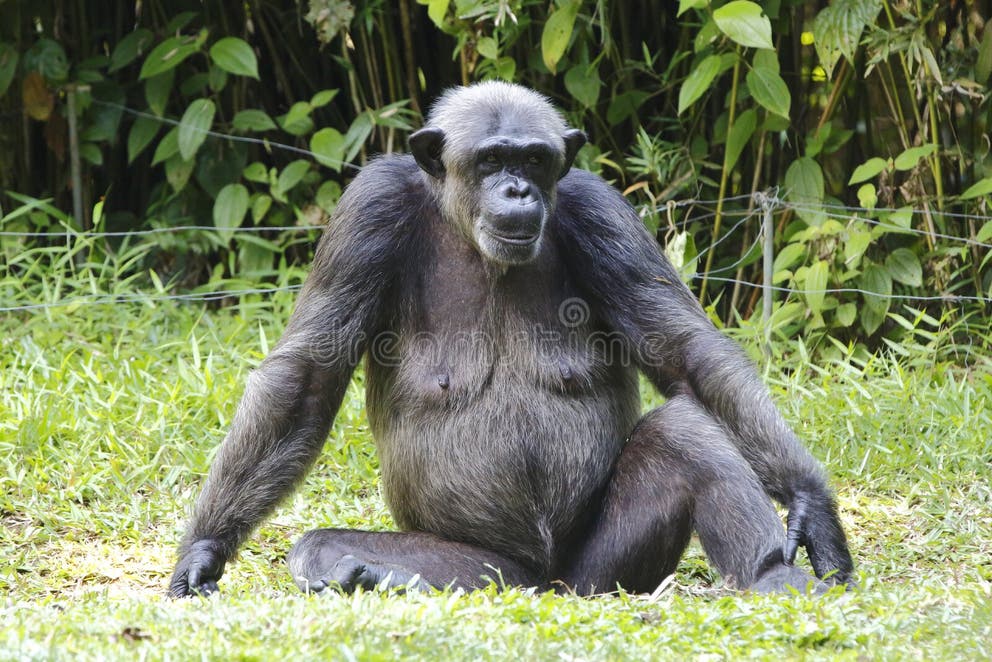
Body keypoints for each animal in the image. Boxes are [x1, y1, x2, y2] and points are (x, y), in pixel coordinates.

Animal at [168, 81, 853, 598]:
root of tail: (546, 582)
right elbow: (307, 379)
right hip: (488, 569)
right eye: (492, 160)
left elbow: (685, 351)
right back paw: (373, 573)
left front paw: (812, 506)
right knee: (321, 547)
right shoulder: (368, 214)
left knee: (684, 431)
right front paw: (203, 552)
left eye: (532, 160)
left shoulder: (603, 214)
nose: (517, 189)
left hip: (601, 575)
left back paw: (773, 576)